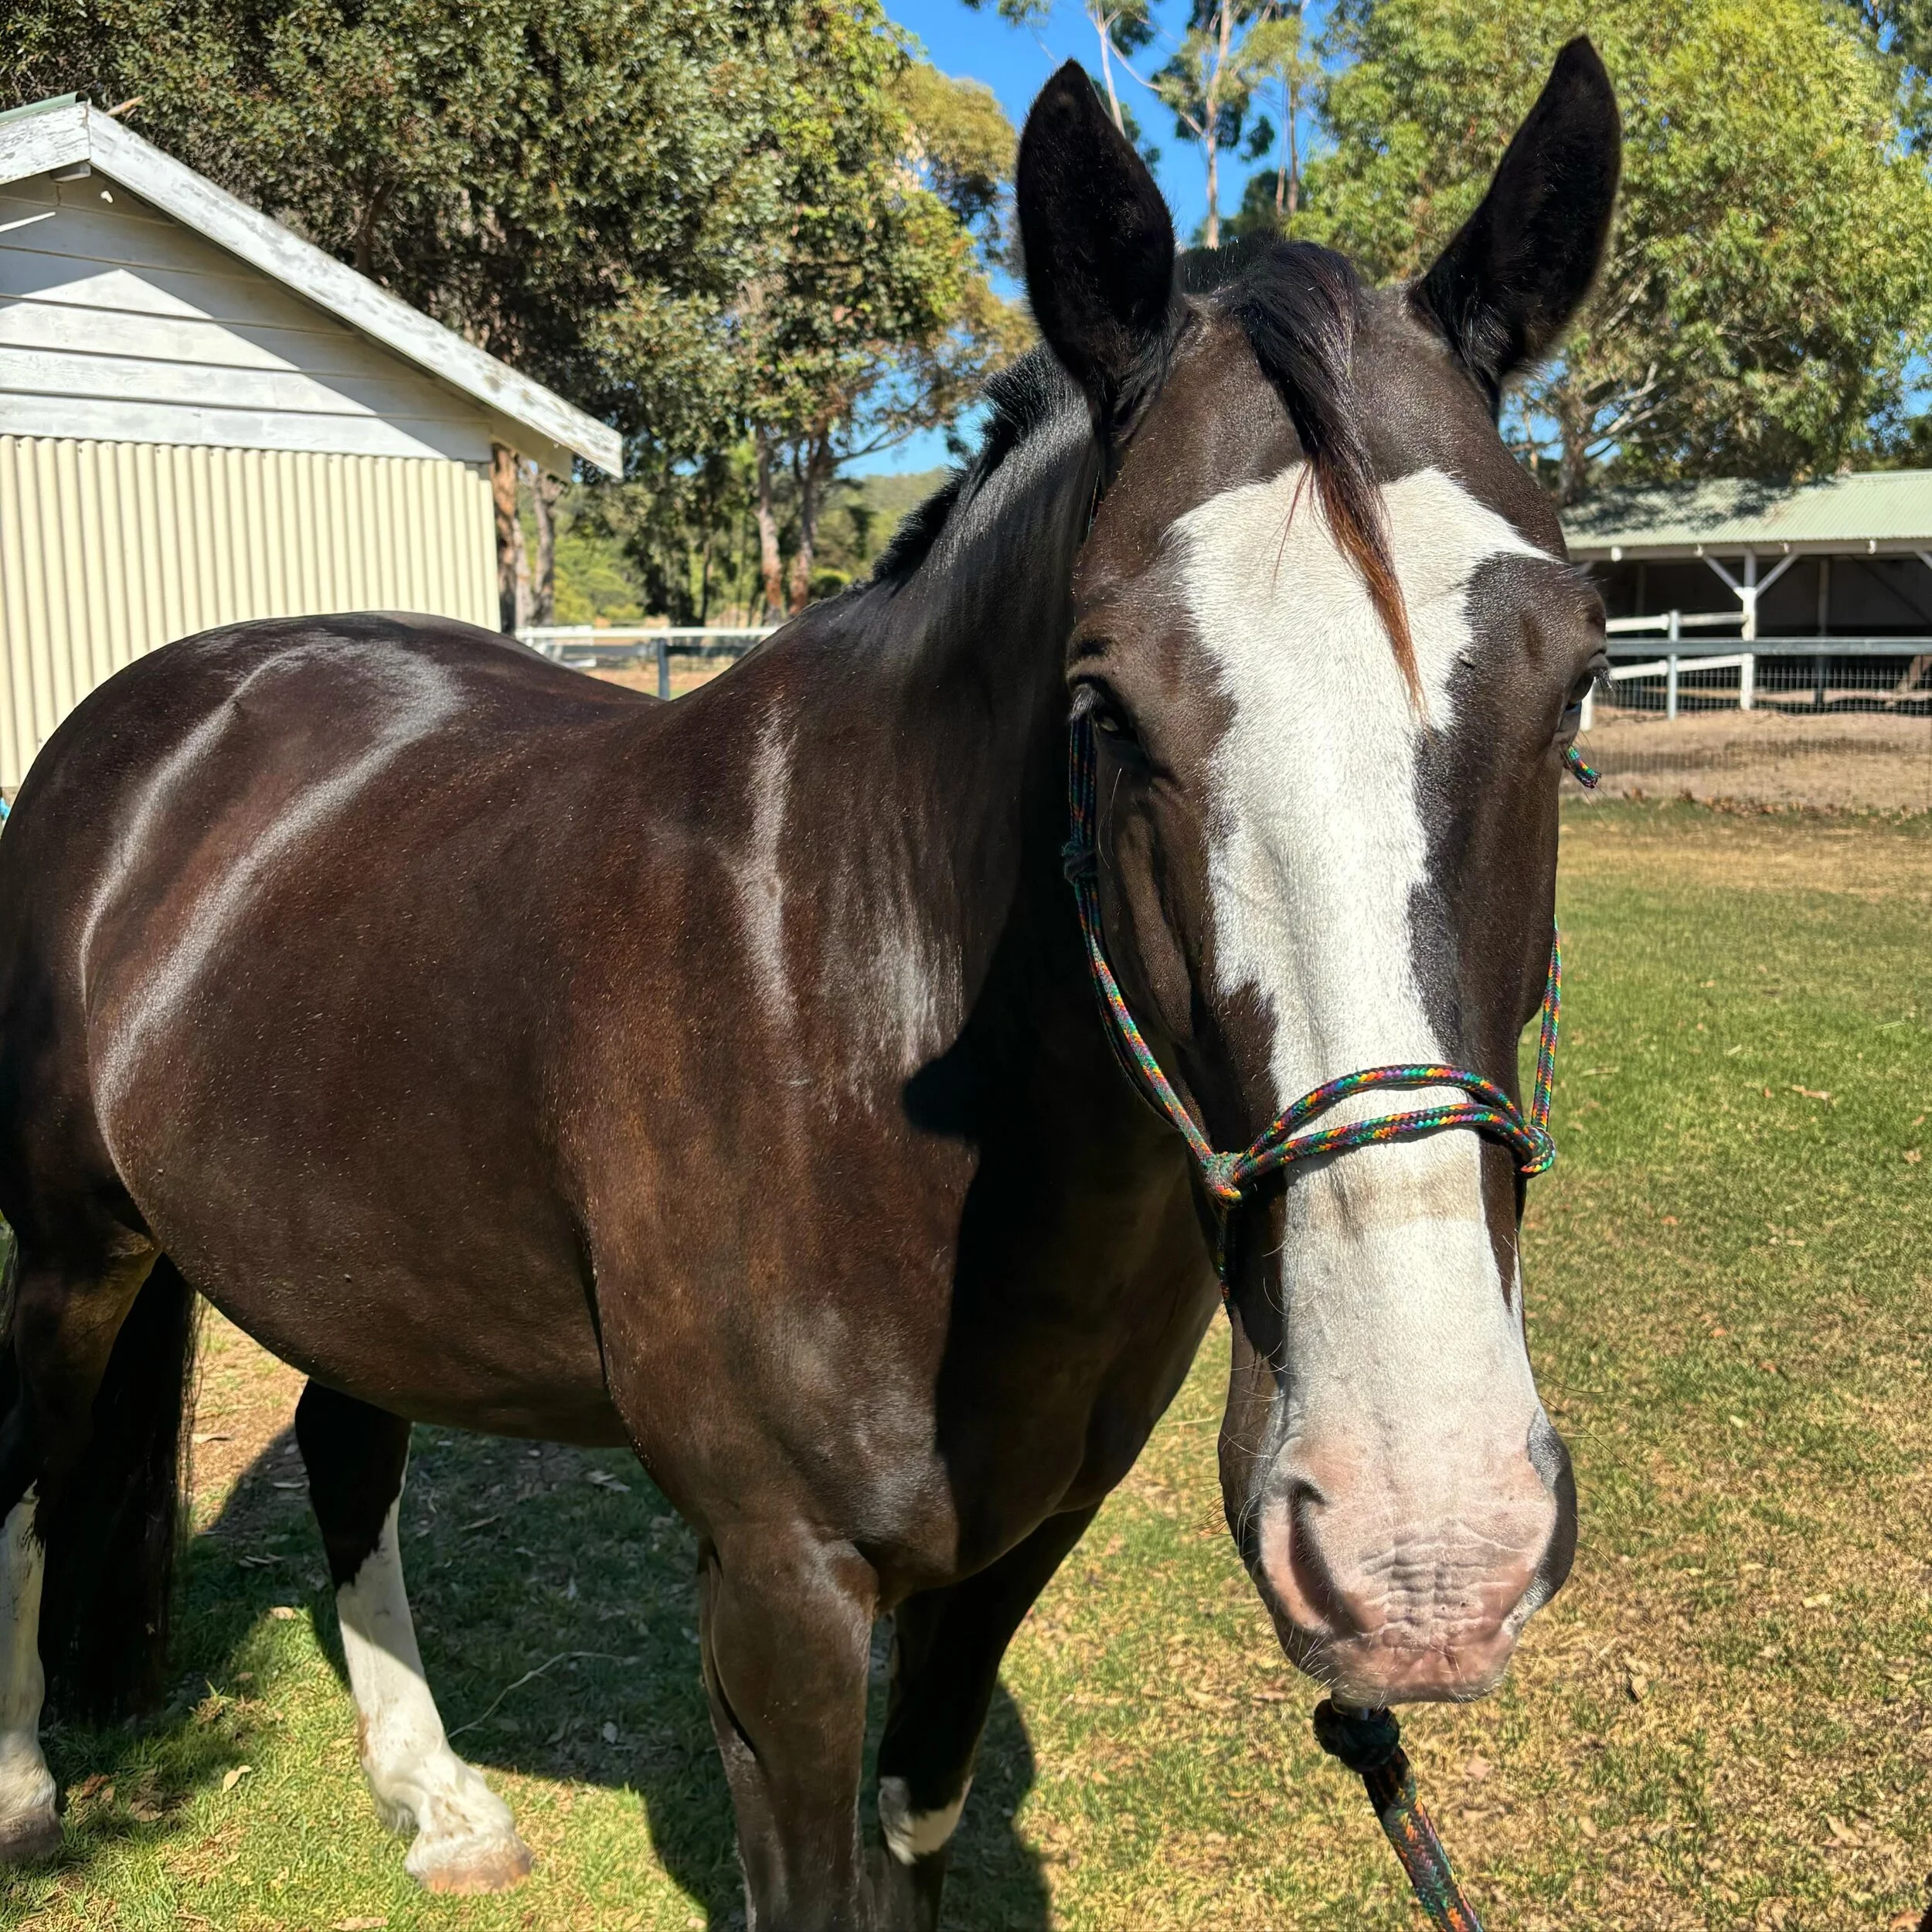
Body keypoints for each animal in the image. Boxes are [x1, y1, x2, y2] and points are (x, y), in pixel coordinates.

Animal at [0, 43, 1618, 1930]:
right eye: (1101, 709)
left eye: (1574, 685)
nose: (1425, 1542)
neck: (850, 1004)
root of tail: (155, 711)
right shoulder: (777, 1590)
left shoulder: (1009, 1555)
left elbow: (912, 1823)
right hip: (75, 1248)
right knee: (26, 1466)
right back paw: (27, 1785)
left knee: (347, 1447)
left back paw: (435, 1797)